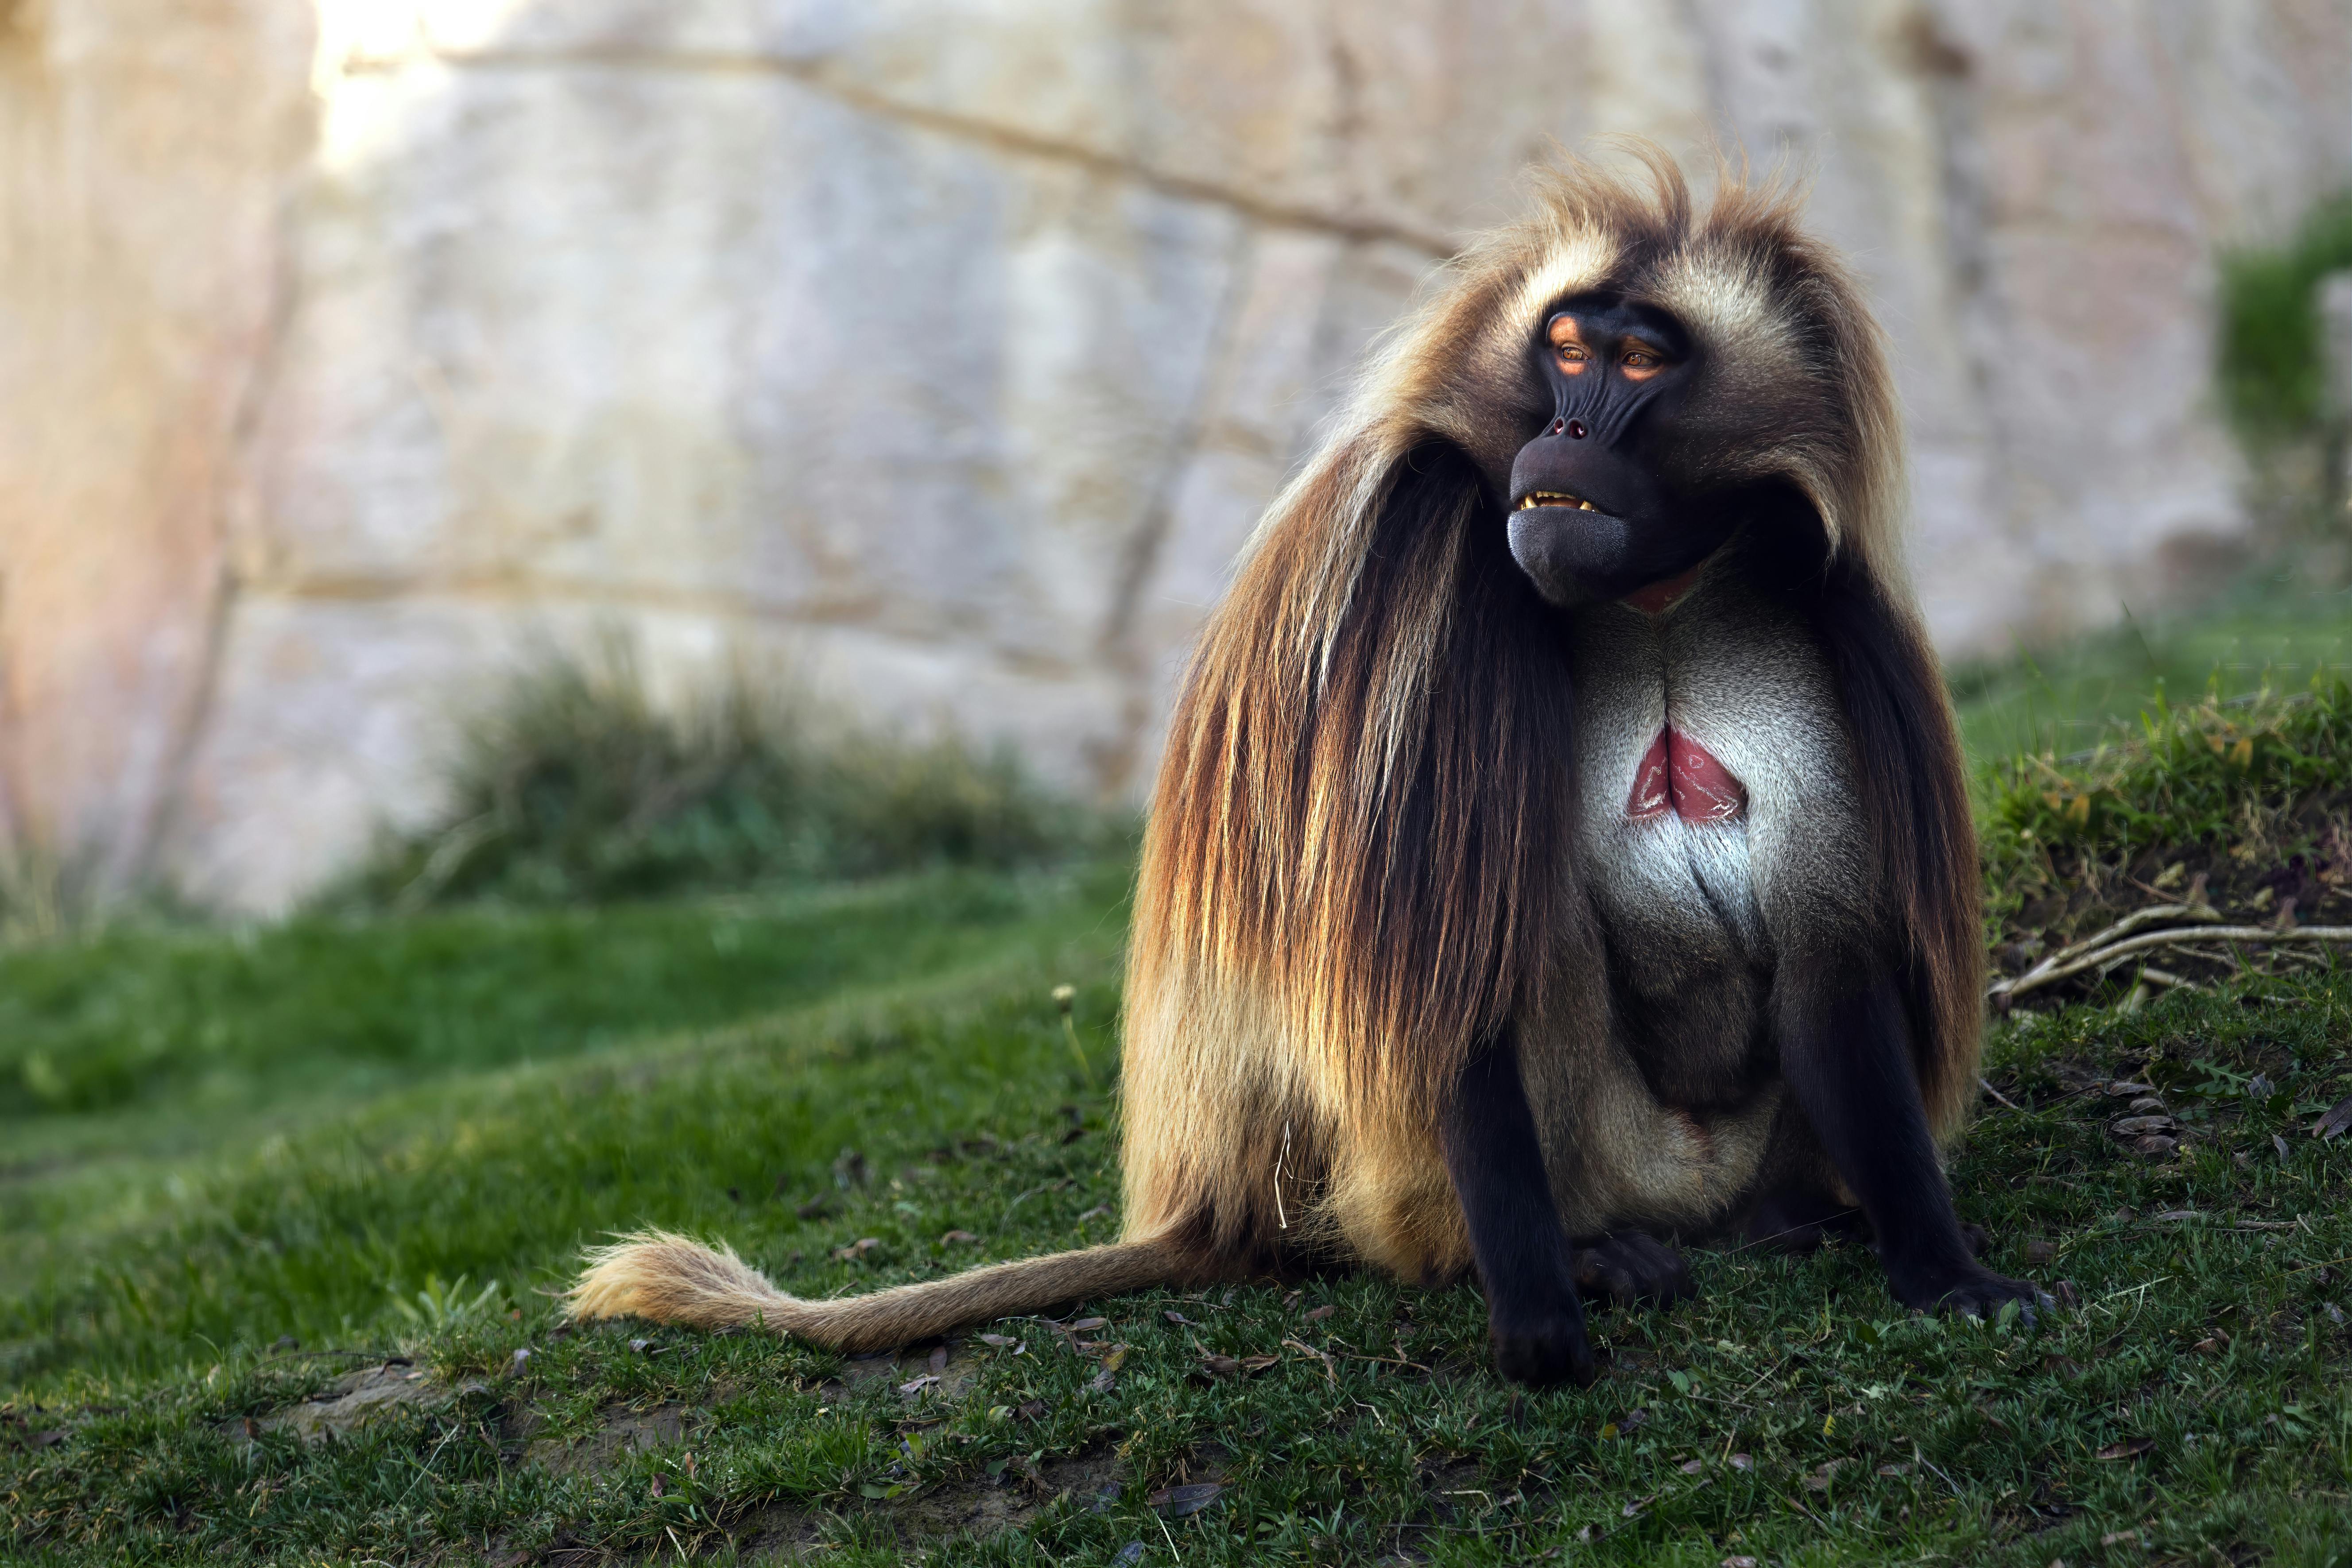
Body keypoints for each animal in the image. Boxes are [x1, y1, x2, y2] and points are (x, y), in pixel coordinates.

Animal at [567, 148, 2042, 1386]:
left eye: (1639, 360)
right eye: (1565, 347)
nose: (1568, 436)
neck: (1654, 599)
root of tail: (1208, 1202)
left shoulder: (1801, 593)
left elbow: (1829, 952)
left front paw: (1940, 1265)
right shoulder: (1436, 554)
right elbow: (1451, 978)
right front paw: (1541, 1322)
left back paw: (1793, 1216)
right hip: (1447, 1175)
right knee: (1503, 941)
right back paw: (1586, 1251)